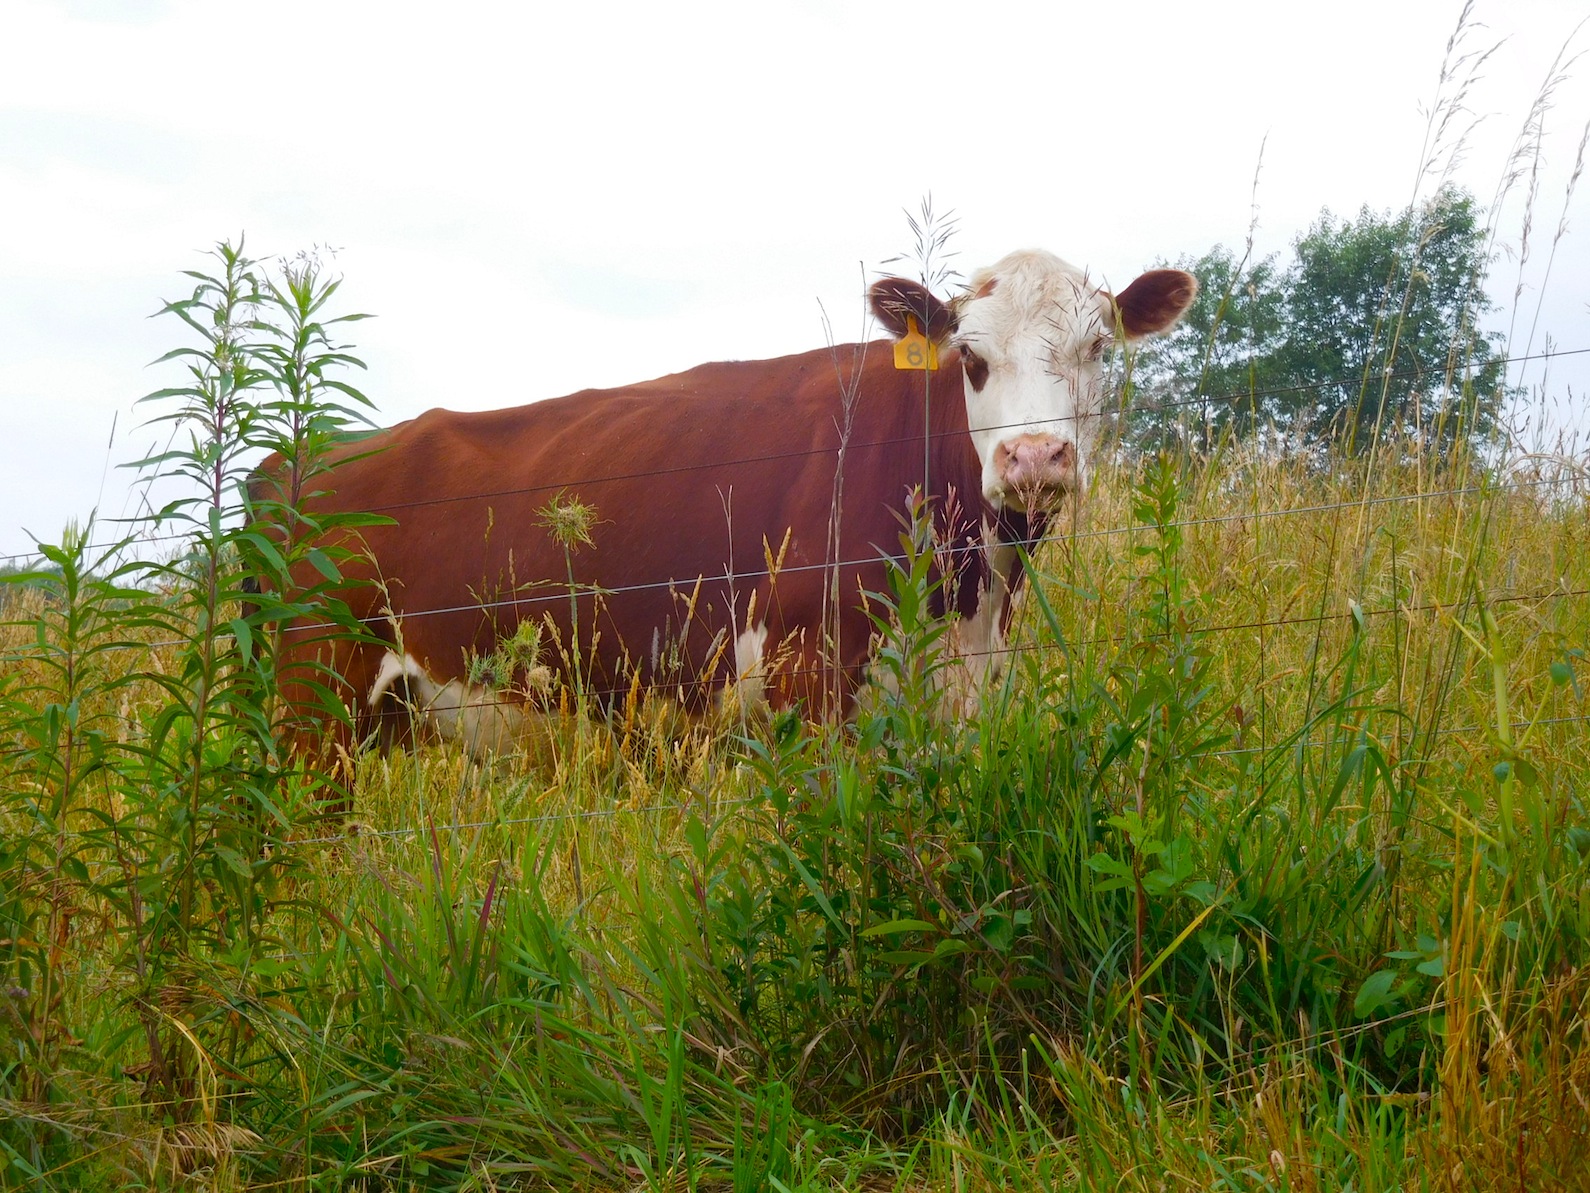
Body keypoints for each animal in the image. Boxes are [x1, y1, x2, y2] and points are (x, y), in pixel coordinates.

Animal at [253, 249, 1196, 759]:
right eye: (970, 355)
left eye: (1098, 348)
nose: (1034, 457)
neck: (970, 593)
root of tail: (303, 455)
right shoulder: (808, 679)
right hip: (311, 700)